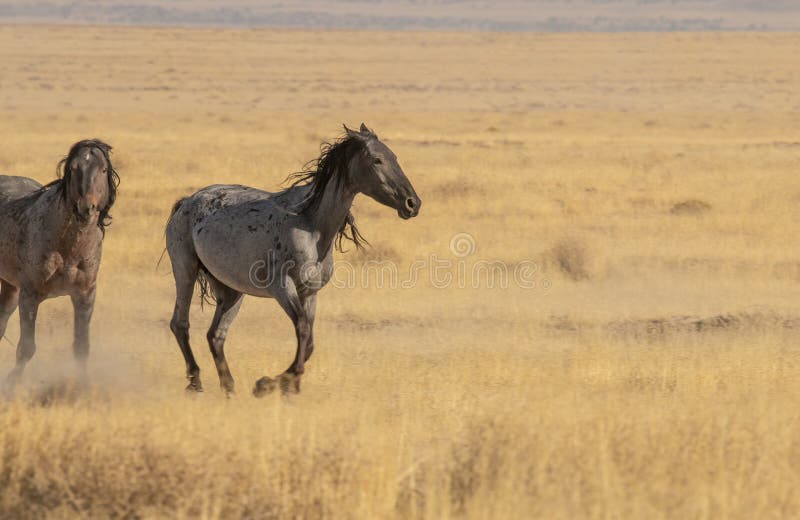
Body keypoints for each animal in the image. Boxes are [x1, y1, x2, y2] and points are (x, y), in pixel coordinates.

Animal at [0, 139, 119, 393]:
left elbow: (82, 347)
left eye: (103, 170)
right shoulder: (30, 295)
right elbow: (26, 348)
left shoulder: (85, 295)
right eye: (73, 169)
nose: (86, 208)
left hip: (10, 288)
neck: (67, 246)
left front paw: (82, 387)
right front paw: (11, 383)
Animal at [165, 124, 421, 397]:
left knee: (216, 335)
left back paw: (229, 387)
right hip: (185, 270)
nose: (412, 203)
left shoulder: (309, 292)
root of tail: (185, 202)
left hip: (231, 290)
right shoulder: (282, 287)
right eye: (376, 159)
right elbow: (303, 328)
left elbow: (309, 341)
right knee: (180, 323)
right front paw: (277, 383)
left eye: (394, 157)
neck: (310, 224)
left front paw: (276, 383)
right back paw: (195, 382)